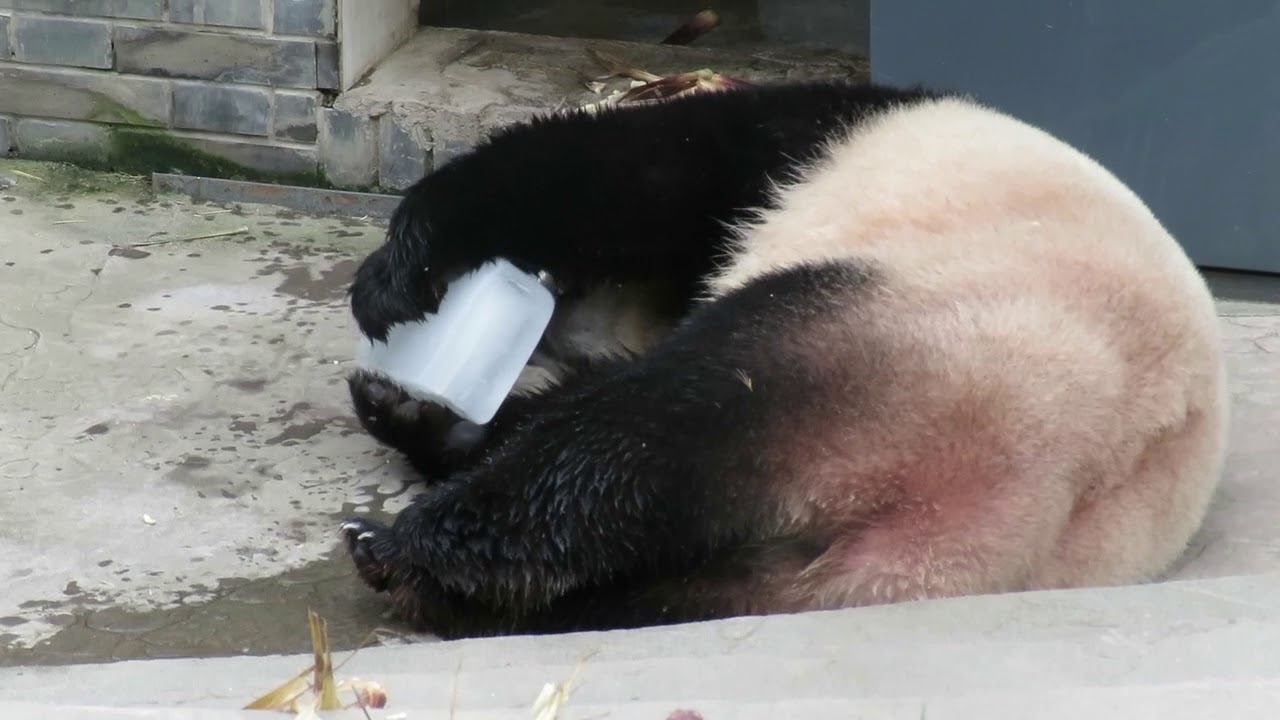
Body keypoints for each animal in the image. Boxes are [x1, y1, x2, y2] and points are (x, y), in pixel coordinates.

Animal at [338, 79, 1229, 639]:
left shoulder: (778, 155)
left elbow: (621, 177)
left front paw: (398, 277)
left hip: (901, 348)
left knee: (648, 432)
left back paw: (416, 544)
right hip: (778, 569)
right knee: (641, 579)